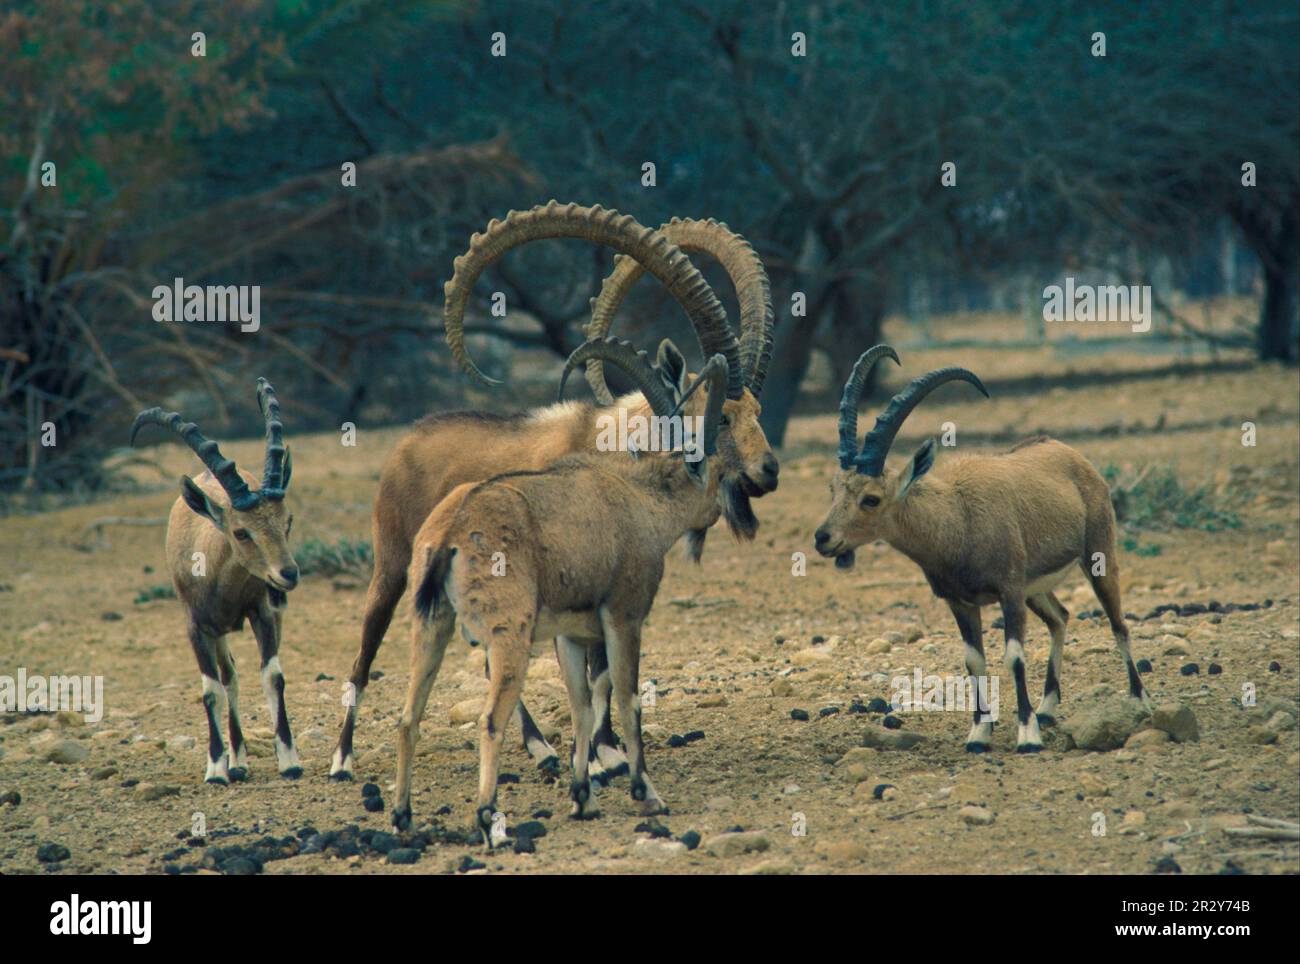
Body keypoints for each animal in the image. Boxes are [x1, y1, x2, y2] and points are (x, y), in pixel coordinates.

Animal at [129, 379, 302, 783]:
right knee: (228, 677)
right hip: (217, 631)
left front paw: (289, 760)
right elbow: (210, 691)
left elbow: (273, 677)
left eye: (286, 521)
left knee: (235, 675)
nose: (288, 574)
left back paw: (240, 759)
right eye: (241, 532)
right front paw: (215, 769)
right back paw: (235, 762)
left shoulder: (262, 612)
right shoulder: (195, 626)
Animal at [330, 202, 780, 782]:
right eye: (720, 415)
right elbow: (598, 664)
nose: (768, 472)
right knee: (365, 651)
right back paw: (342, 759)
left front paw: (600, 751)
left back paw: (539, 747)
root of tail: (406, 442)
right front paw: (608, 753)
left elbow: (598, 665)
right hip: (390, 566)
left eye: (757, 411)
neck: (621, 448)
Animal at [392, 339, 731, 841]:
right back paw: (488, 818)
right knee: (490, 721)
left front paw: (583, 799)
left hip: (430, 625)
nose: (717, 510)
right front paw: (646, 794)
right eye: (709, 468)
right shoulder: (624, 616)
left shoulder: (570, 635)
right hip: (509, 634)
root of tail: (452, 530)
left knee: (408, 718)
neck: (639, 499)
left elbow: (581, 708)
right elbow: (628, 700)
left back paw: (402, 816)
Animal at [813, 347, 1151, 753]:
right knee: (1060, 617)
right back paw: (1048, 708)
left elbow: (1014, 657)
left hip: (1096, 557)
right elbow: (974, 662)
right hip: (1036, 589)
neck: (957, 519)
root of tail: (1070, 454)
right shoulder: (961, 602)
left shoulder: (1009, 591)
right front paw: (979, 734)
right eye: (834, 488)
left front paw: (1027, 736)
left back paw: (1139, 701)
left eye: (871, 498)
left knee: (1118, 623)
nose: (824, 538)